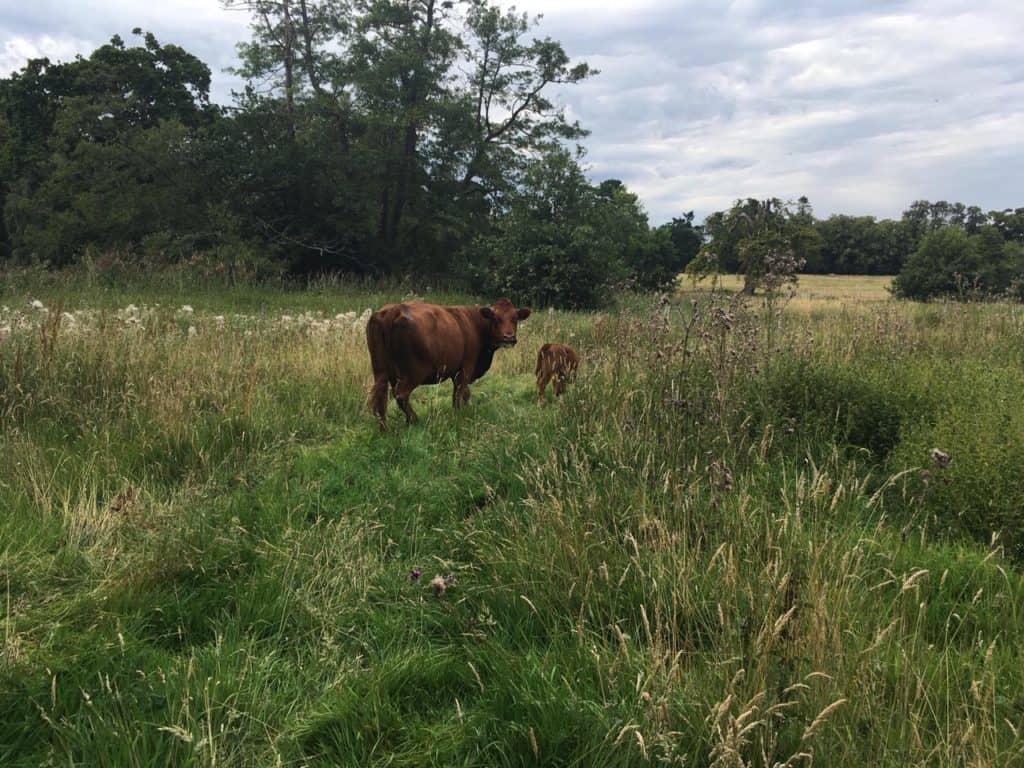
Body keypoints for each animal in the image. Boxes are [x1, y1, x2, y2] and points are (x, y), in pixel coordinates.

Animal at [366, 298, 531, 430]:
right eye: (495, 318)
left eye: (515, 318)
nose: (508, 337)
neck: (475, 323)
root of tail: (393, 310)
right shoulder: (466, 367)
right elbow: (460, 393)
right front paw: (458, 415)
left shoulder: (455, 370)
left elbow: (462, 393)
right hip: (413, 372)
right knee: (400, 395)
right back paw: (413, 420)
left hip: (381, 370)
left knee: (382, 397)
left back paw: (384, 428)